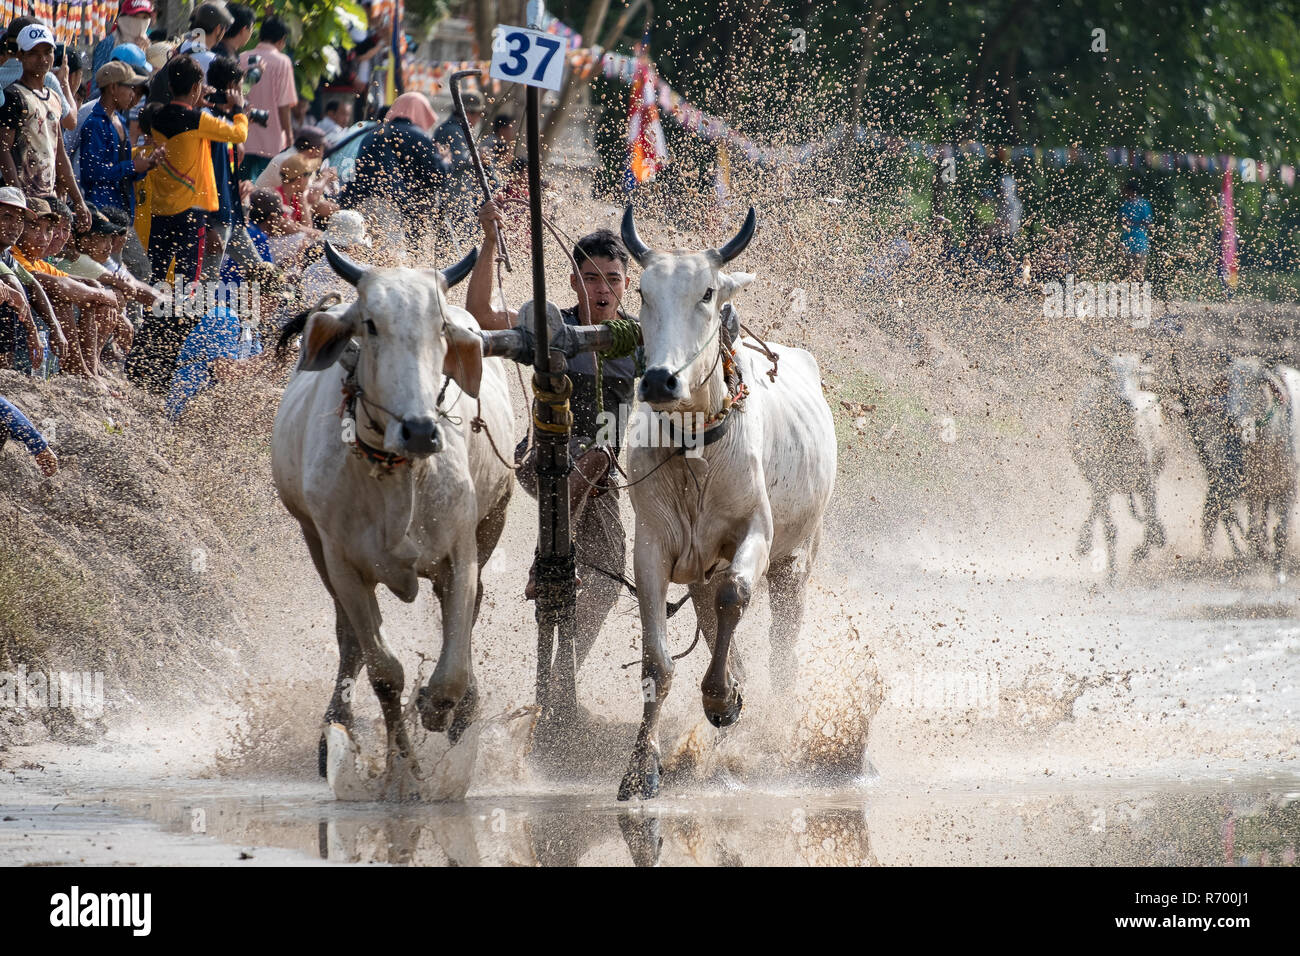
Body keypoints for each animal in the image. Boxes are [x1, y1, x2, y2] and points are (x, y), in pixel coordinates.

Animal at [271, 243, 514, 783]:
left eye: (440, 327)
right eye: (371, 324)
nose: (421, 430)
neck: (399, 474)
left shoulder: (462, 552)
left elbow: (452, 666)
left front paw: (442, 709)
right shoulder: (342, 565)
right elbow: (384, 672)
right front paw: (403, 767)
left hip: (492, 522)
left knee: (460, 620)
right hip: (313, 543)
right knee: (349, 643)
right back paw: (335, 728)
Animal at [616, 205, 838, 800]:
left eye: (708, 292)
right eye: (643, 291)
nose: (659, 380)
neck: (696, 452)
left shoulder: (755, 535)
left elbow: (735, 597)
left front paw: (720, 698)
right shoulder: (652, 549)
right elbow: (657, 660)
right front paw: (640, 767)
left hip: (796, 559)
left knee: (783, 648)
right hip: (701, 566)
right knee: (710, 615)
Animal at [1068, 350, 1168, 583]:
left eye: (1137, 372)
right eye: (1110, 373)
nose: (1126, 401)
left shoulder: (1147, 480)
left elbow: (1151, 523)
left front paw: (1142, 550)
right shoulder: (1100, 480)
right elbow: (1110, 529)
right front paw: (1112, 577)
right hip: (1092, 476)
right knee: (1096, 505)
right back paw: (1083, 543)